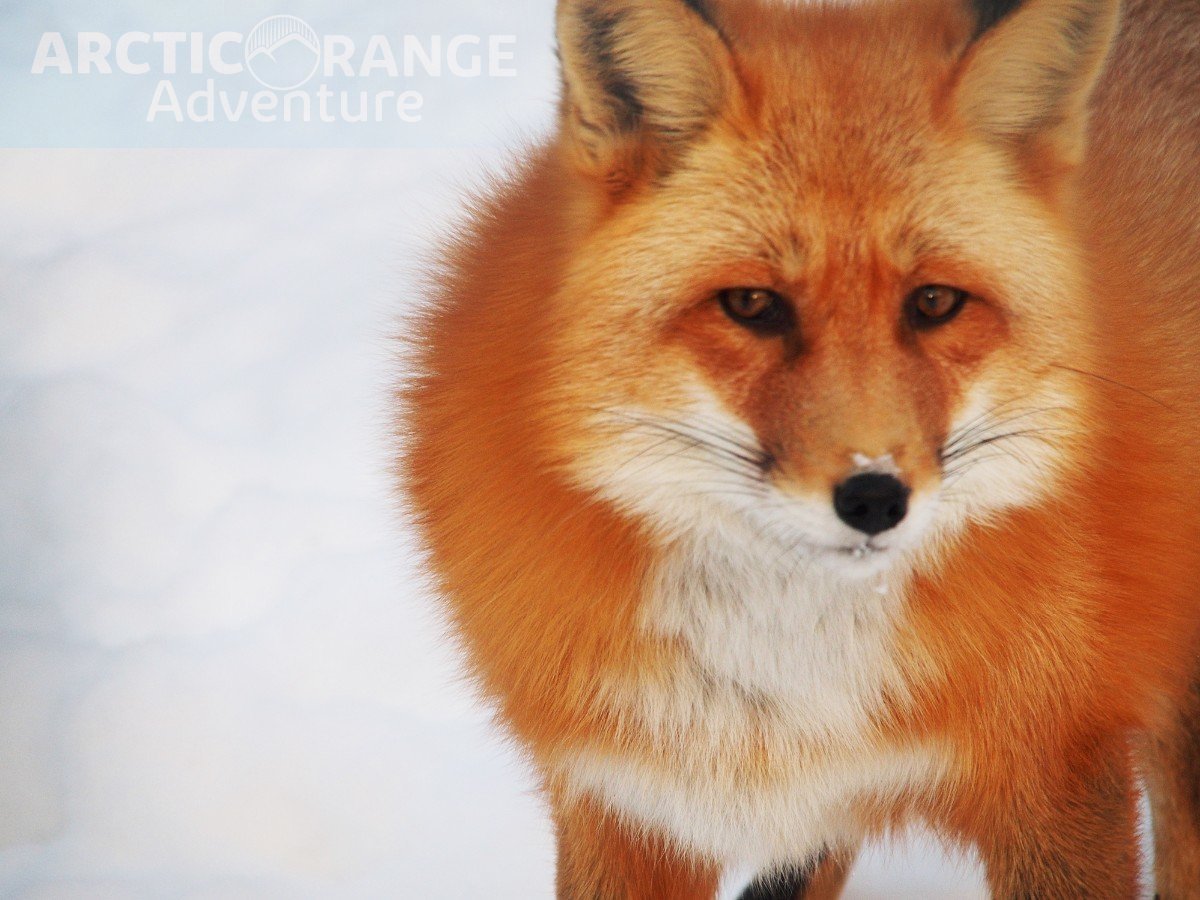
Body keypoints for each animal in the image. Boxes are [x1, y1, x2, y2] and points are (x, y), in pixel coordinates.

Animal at [401, 0, 1200, 896]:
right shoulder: (627, 796)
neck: (777, 684)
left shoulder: (1059, 780)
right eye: (751, 304)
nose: (874, 497)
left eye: (935, 302)